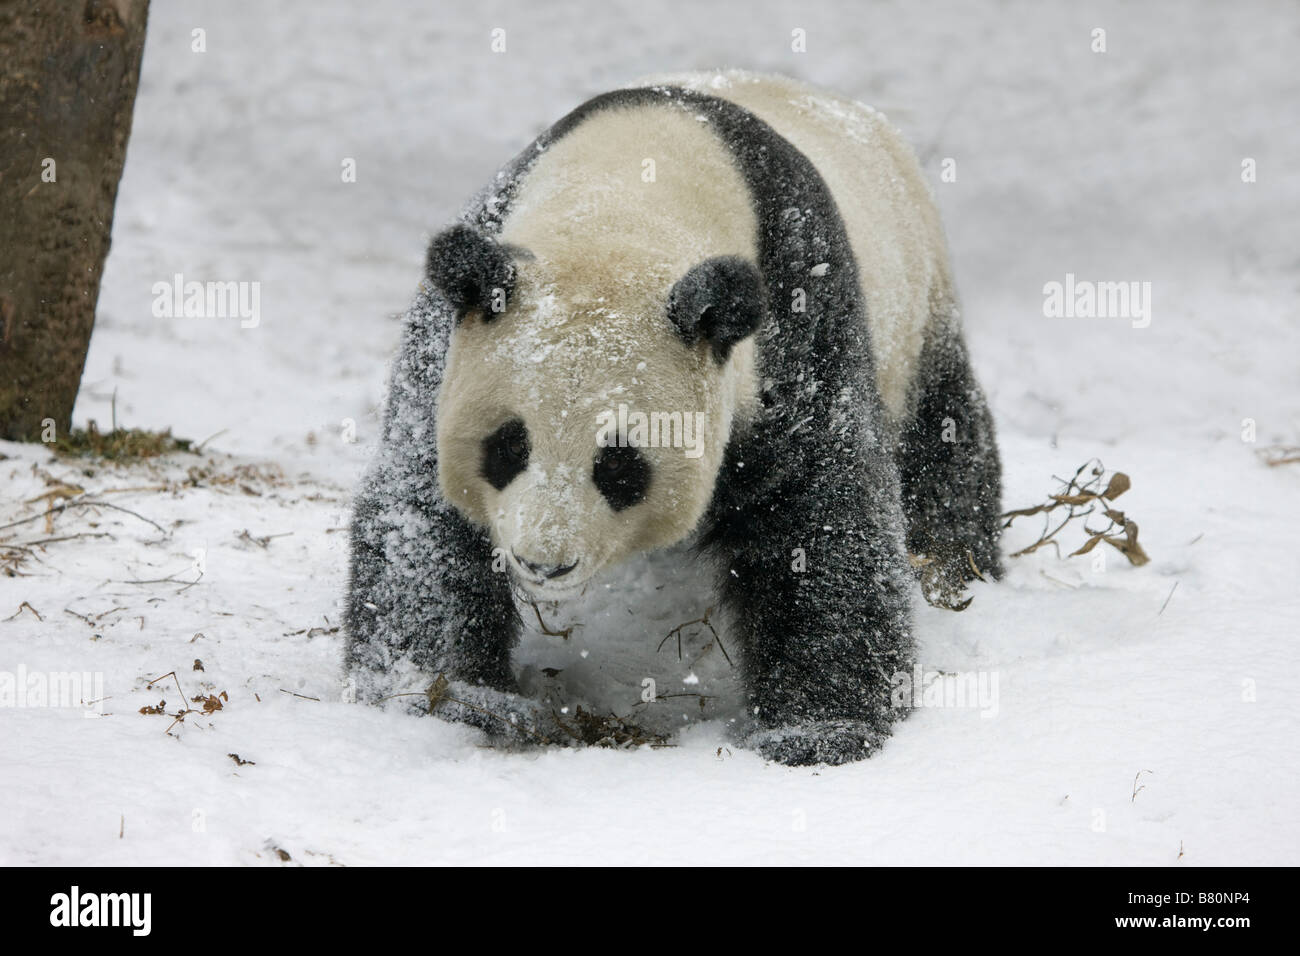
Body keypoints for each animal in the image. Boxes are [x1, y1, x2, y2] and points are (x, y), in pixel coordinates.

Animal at [345, 70, 1002, 766]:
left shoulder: (801, 314)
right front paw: (452, 698)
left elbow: (823, 512)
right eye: (507, 446)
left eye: (619, 464)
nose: (546, 564)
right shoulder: (455, 323)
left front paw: (817, 733)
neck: (622, 200)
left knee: (946, 442)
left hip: (920, 306)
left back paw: (953, 569)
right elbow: (418, 514)